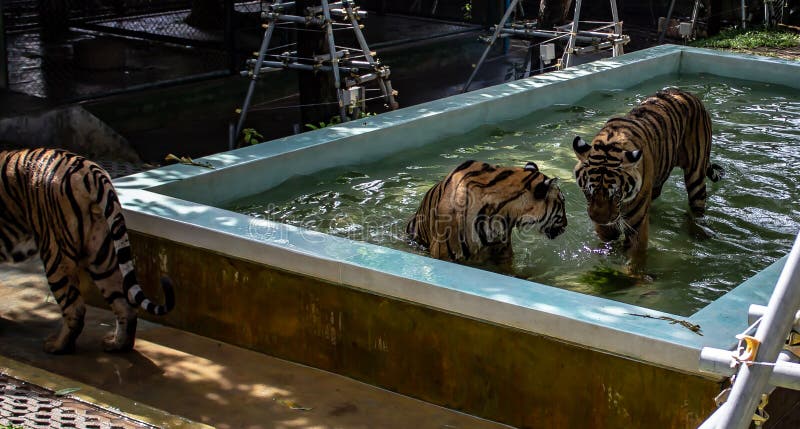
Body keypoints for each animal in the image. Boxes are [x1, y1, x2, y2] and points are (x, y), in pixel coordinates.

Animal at [0, 148, 175, 354]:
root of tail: (91, 171)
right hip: (102, 254)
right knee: (125, 306)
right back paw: (116, 345)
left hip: (56, 254)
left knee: (75, 308)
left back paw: (56, 346)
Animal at [572, 88, 724, 268]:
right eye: (588, 193)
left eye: (615, 195)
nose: (601, 220)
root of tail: (687, 93)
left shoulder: (636, 226)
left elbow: (635, 257)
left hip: (696, 173)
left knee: (697, 209)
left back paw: (698, 232)